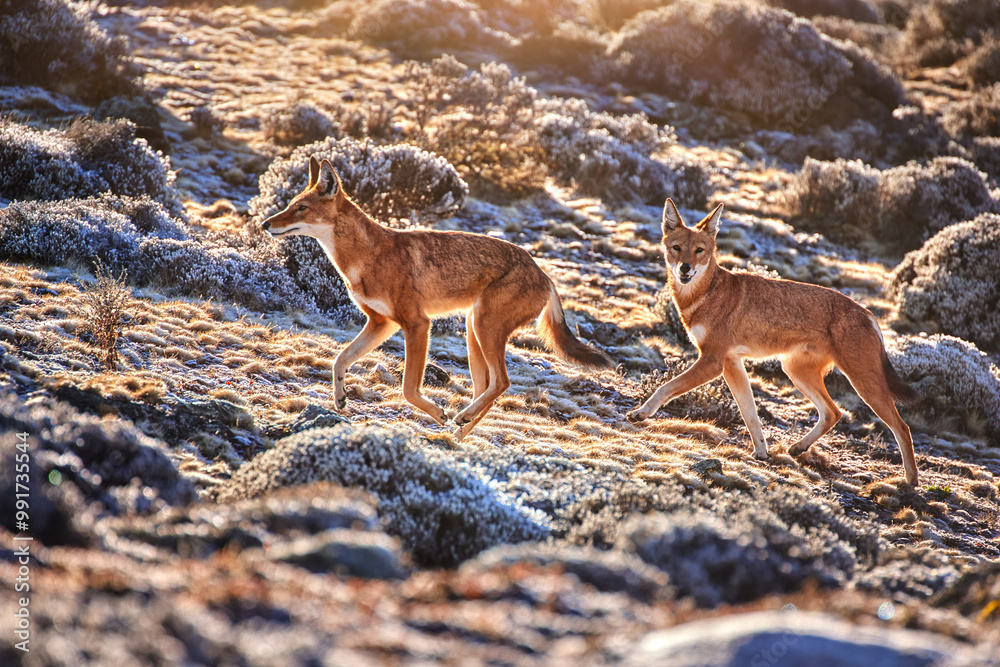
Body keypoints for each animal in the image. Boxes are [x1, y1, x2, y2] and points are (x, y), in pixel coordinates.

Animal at [262, 156, 612, 440]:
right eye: (291, 204)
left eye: (300, 208)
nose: (265, 223)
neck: (367, 256)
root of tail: (543, 273)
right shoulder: (381, 324)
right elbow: (340, 359)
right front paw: (340, 398)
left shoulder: (417, 324)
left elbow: (407, 388)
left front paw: (438, 413)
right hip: (474, 333)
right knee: (487, 386)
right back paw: (460, 433)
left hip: (483, 328)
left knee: (502, 383)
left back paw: (461, 418)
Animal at [627, 199, 921, 484]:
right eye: (677, 248)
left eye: (699, 250)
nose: (685, 268)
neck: (705, 296)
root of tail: (869, 314)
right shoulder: (731, 363)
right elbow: (751, 415)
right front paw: (761, 452)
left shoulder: (712, 361)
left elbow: (665, 387)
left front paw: (641, 413)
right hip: (795, 371)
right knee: (833, 413)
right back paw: (798, 448)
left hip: (863, 383)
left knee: (901, 426)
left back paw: (910, 481)